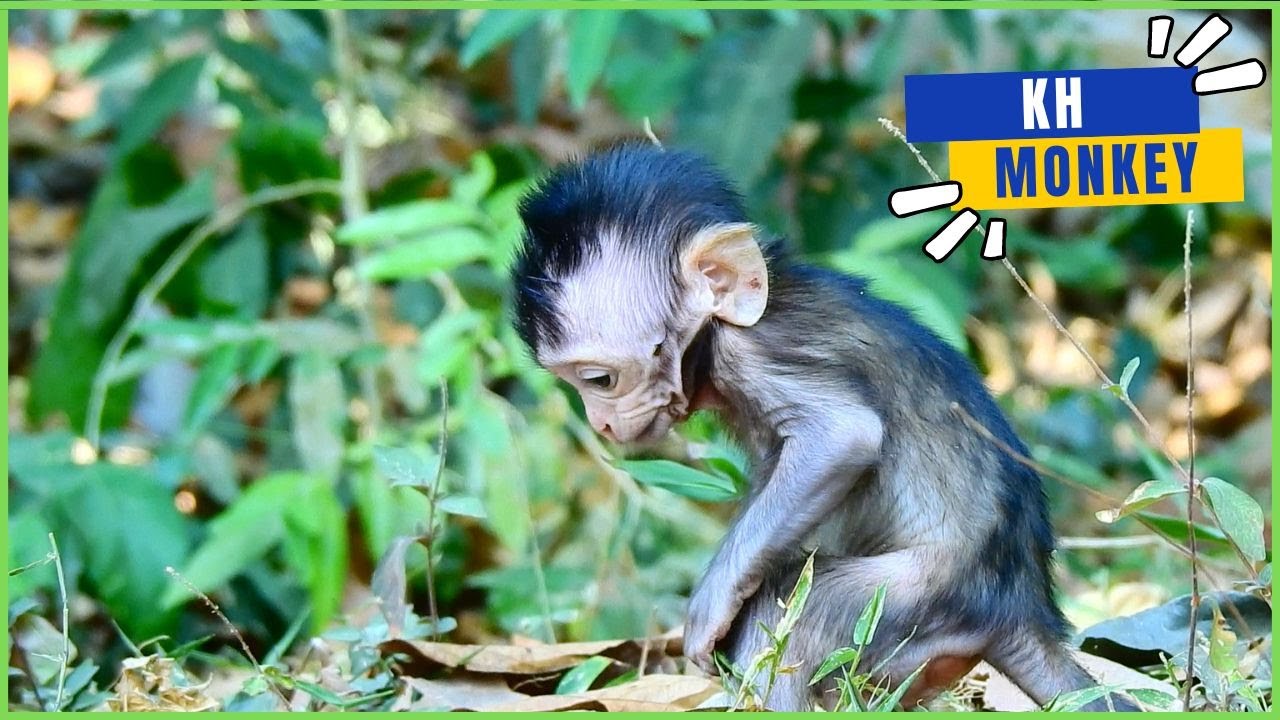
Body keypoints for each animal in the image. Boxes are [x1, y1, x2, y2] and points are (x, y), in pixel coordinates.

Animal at [509, 143, 1136, 712]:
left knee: (793, 611)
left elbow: (842, 437)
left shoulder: (755, 355)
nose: (601, 422)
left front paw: (712, 605)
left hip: (918, 598)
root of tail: (1022, 609)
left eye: (600, 379)